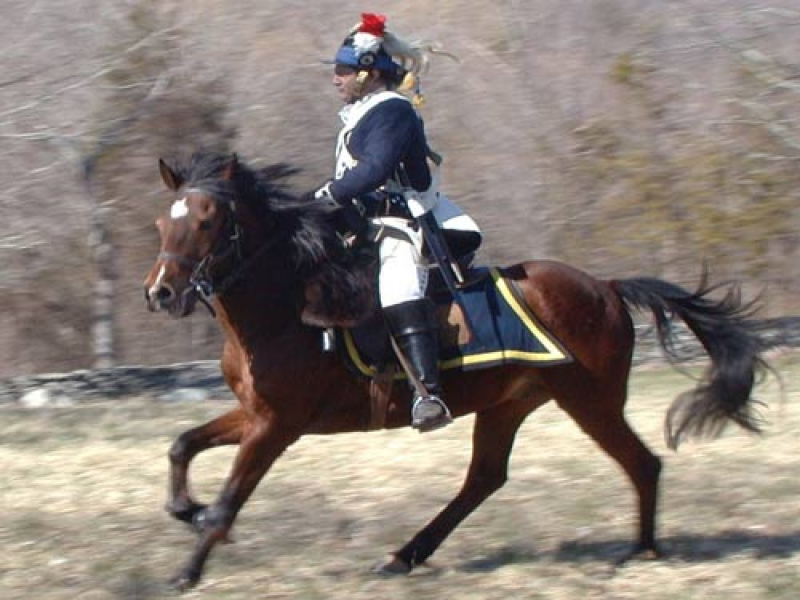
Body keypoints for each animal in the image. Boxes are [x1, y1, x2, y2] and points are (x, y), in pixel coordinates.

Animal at [143, 152, 769, 590]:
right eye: (160, 223)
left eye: (208, 220)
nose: (161, 293)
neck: (284, 303)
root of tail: (606, 288)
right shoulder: (254, 414)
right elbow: (181, 445)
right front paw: (185, 509)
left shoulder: (277, 426)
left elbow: (229, 500)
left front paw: (187, 569)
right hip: (508, 405)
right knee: (483, 480)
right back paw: (406, 555)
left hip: (590, 401)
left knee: (641, 464)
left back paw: (639, 553)